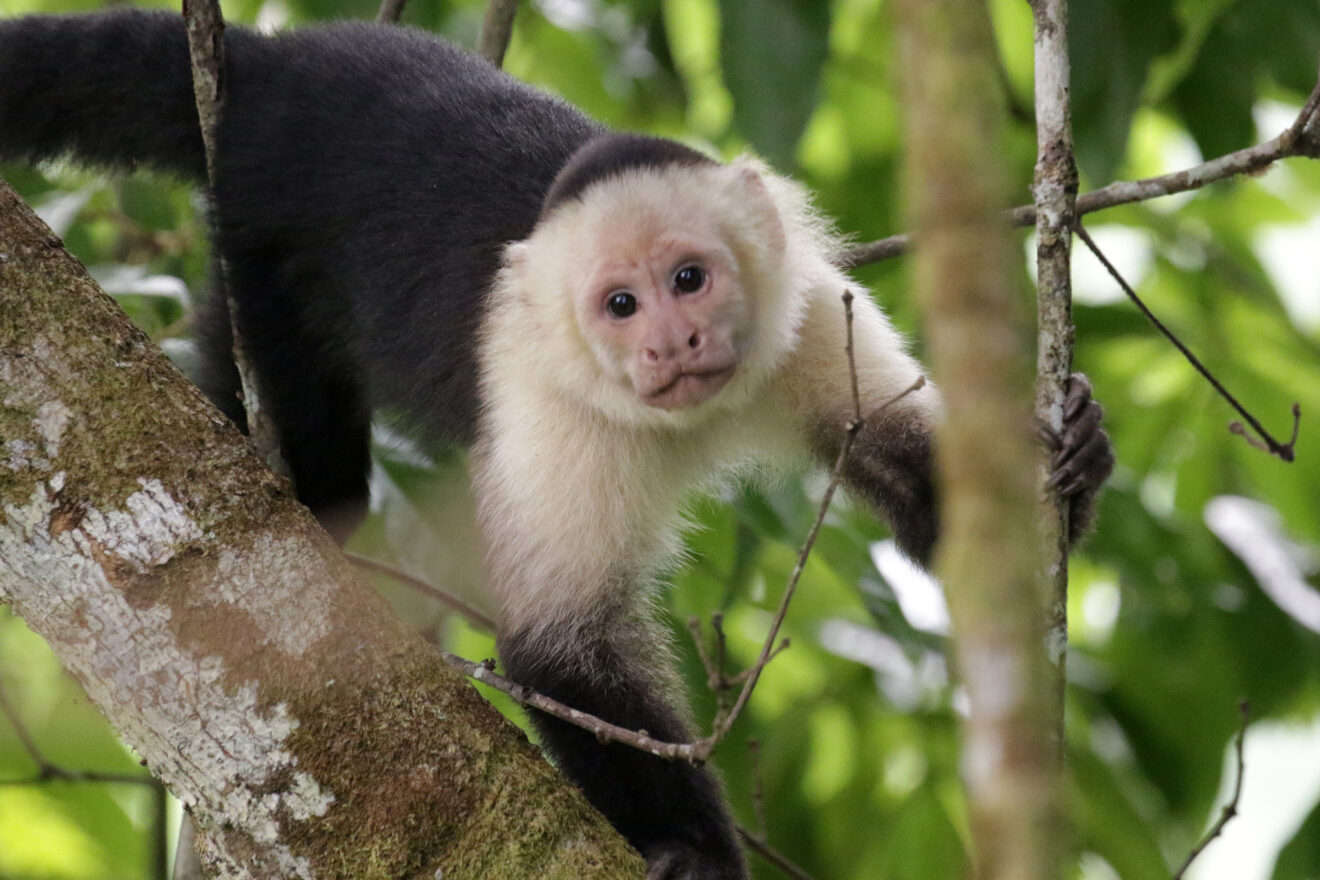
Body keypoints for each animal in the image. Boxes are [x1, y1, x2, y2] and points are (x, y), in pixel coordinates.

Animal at [0, 10, 1114, 880]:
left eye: (689, 279)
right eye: (620, 305)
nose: (672, 343)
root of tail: (288, 67)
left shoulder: (806, 319)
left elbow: (947, 506)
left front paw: (1073, 457)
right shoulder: (551, 405)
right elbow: (558, 641)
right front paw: (695, 853)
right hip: (260, 230)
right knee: (299, 383)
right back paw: (312, 497)